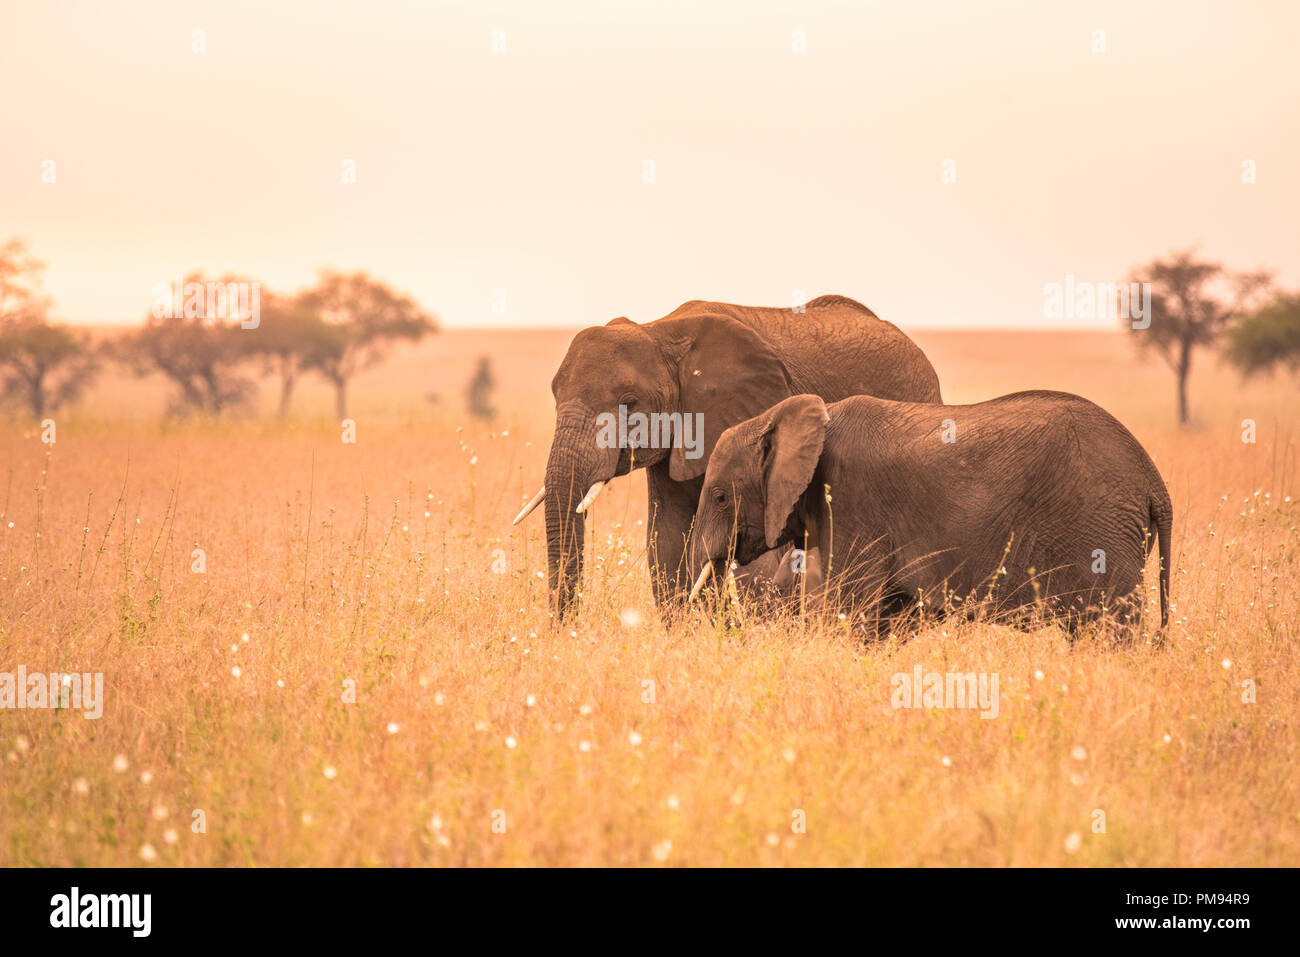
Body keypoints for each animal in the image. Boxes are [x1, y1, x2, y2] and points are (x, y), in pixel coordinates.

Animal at [685, 391, 1172, 632]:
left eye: (720, 497)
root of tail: (1154, 481)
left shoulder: (851, 501)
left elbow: (853, 607)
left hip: (1101, 532)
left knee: (1110, 629)